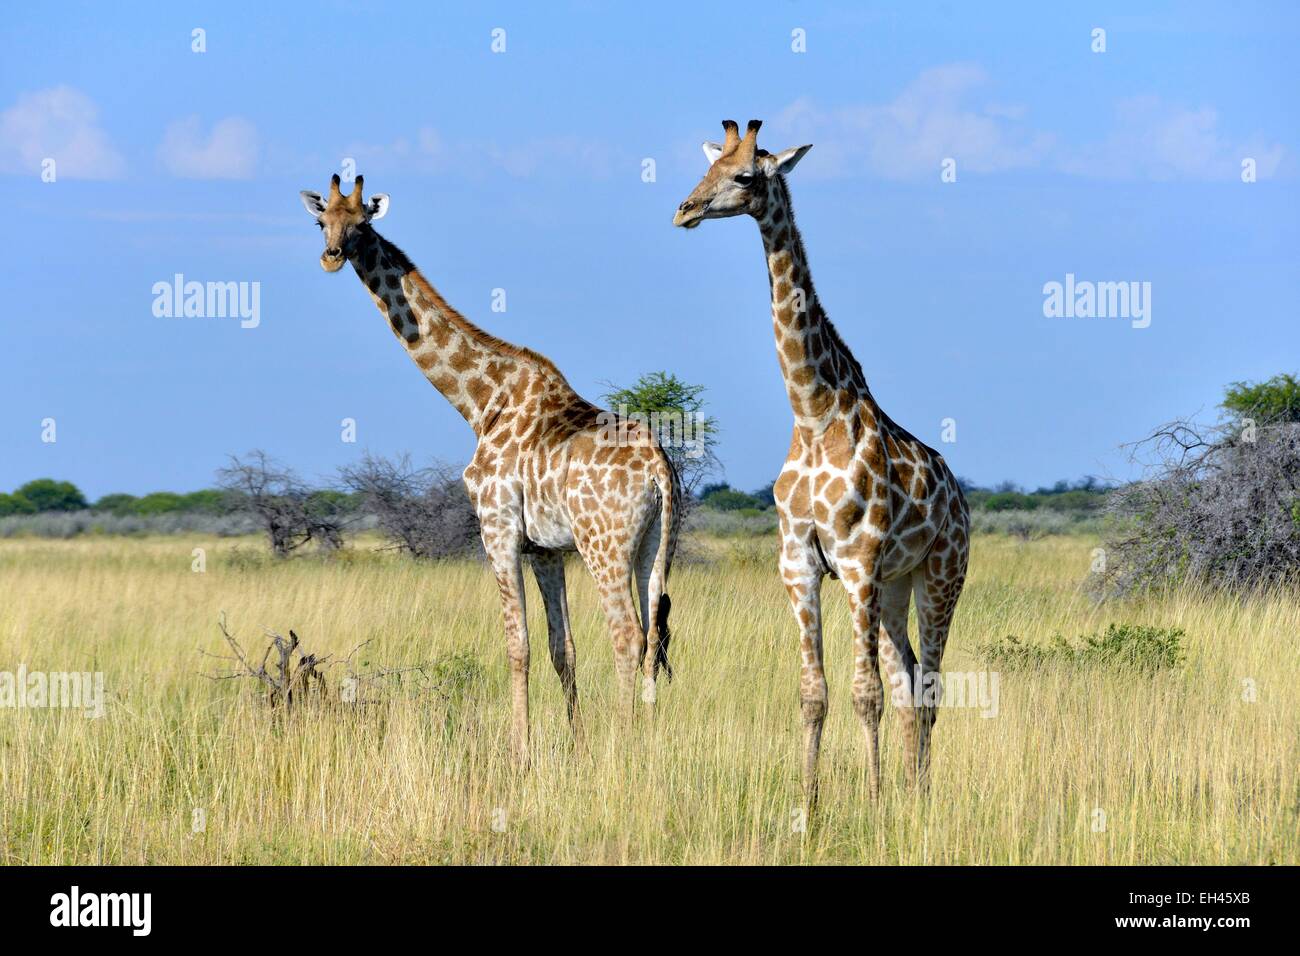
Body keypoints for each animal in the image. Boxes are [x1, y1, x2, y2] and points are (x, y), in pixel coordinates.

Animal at [300, 174, 682, 766]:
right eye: (322, 221)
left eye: (362, 223)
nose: (331, 256)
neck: (481, 403)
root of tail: (660, 469)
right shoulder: (545, 548)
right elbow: (561, 647)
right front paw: (574, 742)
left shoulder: (497, 528)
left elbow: (517, 645)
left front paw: (519, 753)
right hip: (653, 546)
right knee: (653, 635)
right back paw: (645, 740)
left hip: (605, 544)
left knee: (628, 635)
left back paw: (621, 748)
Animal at [674, 121, 969, 807]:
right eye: (707, 168)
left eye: (744, 175)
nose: (685, 210)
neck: (812, 414)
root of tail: (963, 500)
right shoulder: (799, 562)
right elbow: (815, 694)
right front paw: (807, 802)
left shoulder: (856, 562)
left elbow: (865, 694)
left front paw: (875, 800)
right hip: (895, 584)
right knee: (909, 680)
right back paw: (913, 789)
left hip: (939, 576)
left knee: (930, 685)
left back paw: (917, 794)